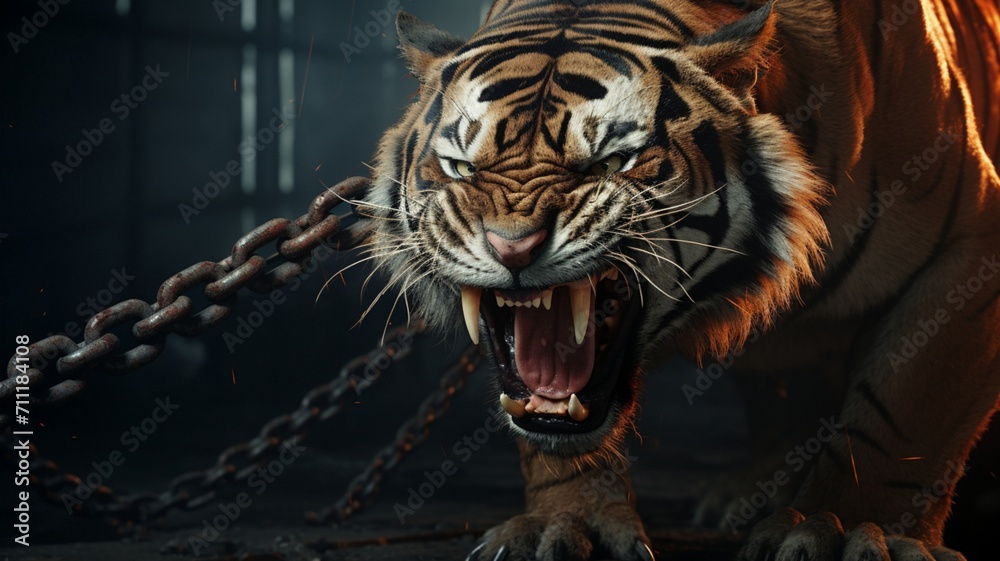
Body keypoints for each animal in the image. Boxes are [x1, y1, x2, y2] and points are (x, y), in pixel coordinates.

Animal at [362, 0, 1000, 559]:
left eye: (609, 163)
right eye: (459, 168)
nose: (511, 246)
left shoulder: (969, 251)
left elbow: (898, 416)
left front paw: (845, 528)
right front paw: (563, 523)